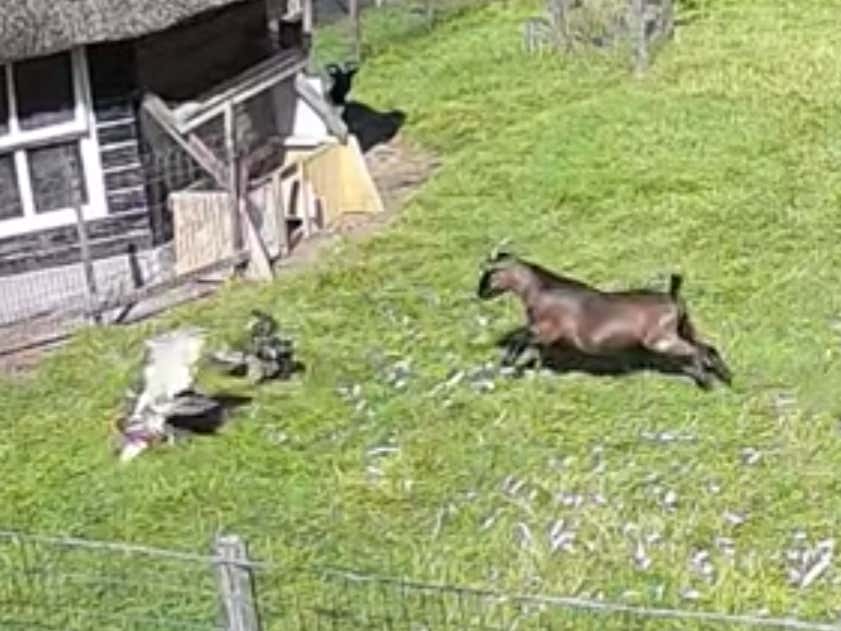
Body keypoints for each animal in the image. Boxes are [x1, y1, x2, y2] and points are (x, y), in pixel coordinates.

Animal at [476, 251, 732, 389]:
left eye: (488, 274)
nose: (479, 293)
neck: (539, 290)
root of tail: (672, 296)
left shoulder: (546, 329)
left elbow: (519, 338)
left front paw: (507, 361)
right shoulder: (544, 337)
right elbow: (535, 351)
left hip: (661, 339)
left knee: (697, 351)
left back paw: (705, 380)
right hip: (683, 329)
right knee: (708, 347)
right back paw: (726, 377)